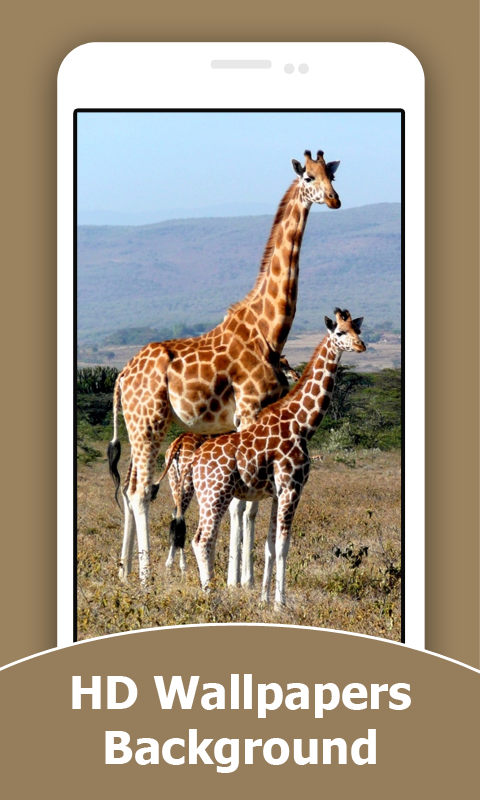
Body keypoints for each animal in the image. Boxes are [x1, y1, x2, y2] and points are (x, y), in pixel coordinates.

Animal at [158, 356, 301, 579]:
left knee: (176, 514)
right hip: (188, 484)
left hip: (175, 481)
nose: (295, 375)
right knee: (181, 515)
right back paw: (181, 565)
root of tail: (178, 445)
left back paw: (171, 564)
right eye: (283, 363)